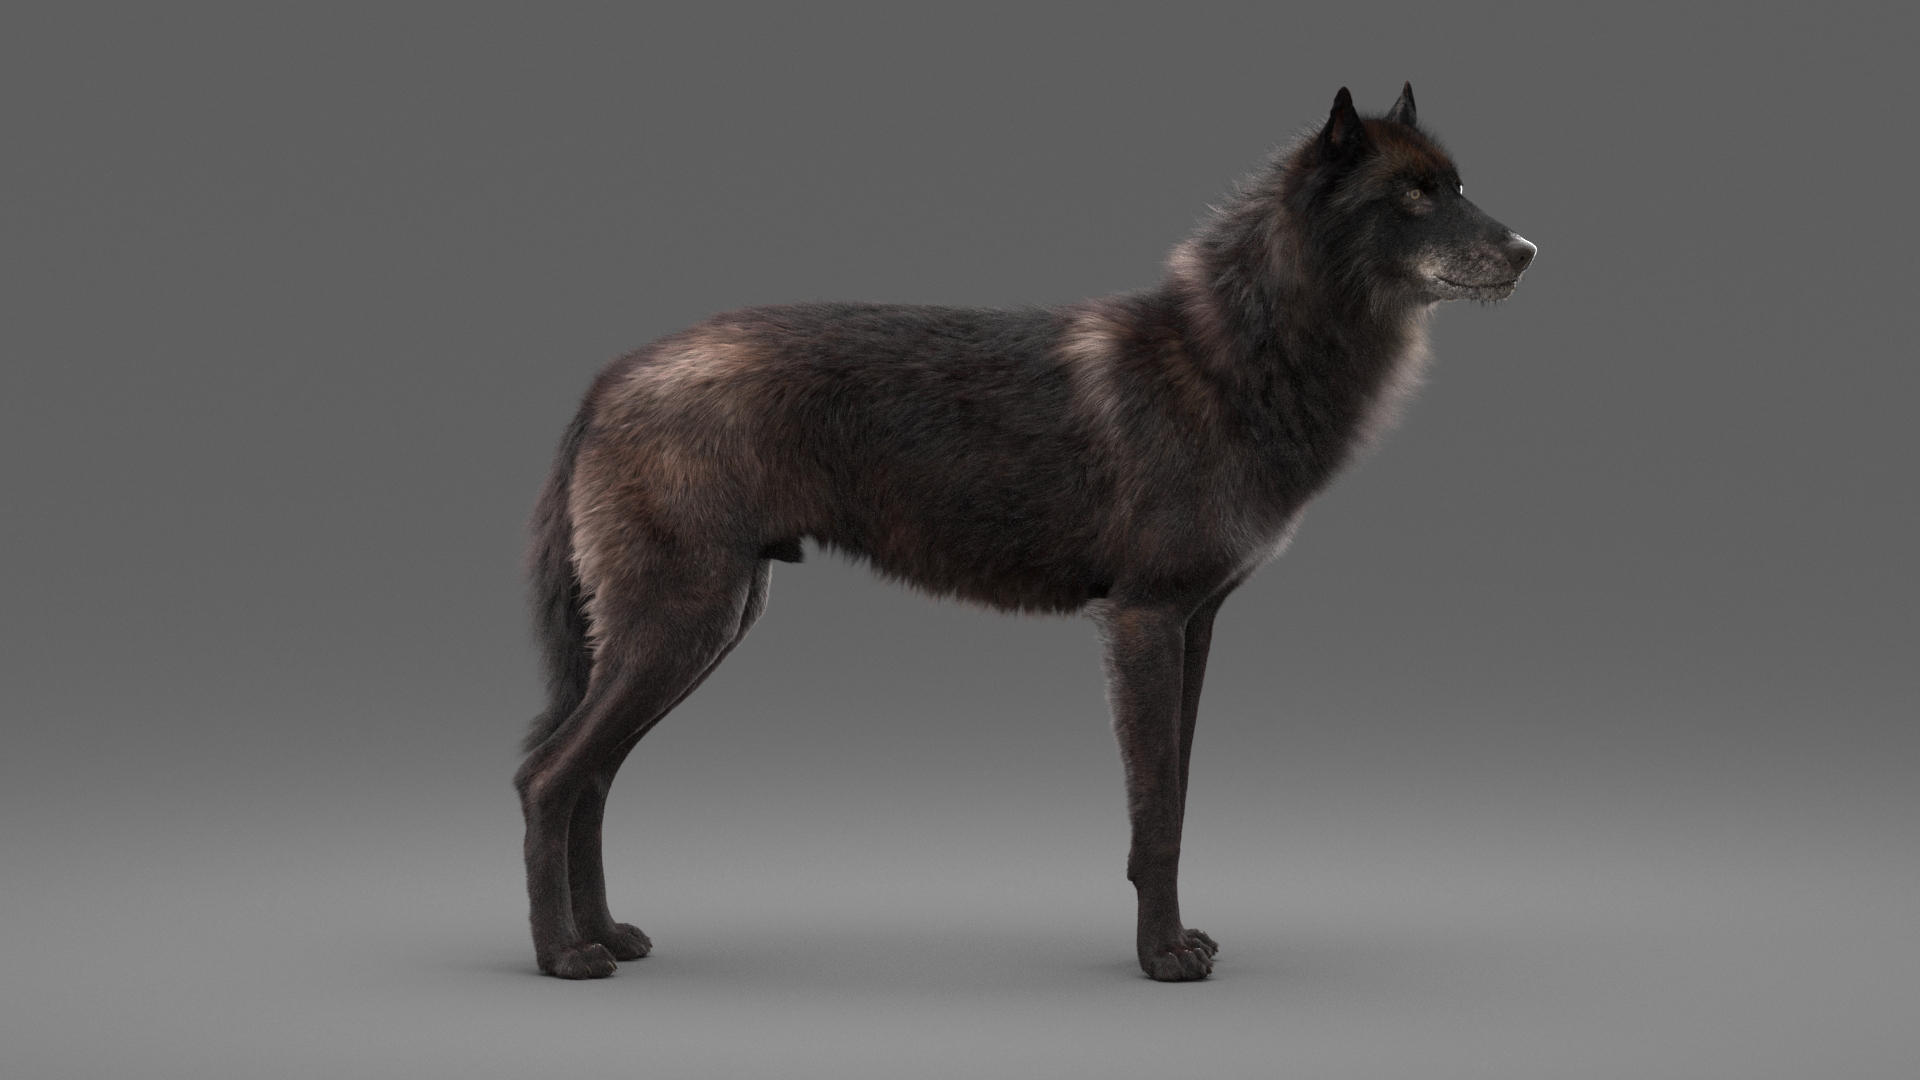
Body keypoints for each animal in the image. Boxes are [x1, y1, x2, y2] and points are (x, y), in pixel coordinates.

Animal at [513, 84, 1535, 981]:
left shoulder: (1196, 627)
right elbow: (1157, 818)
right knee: (547, 777)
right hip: (682, 629)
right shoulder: (1145, 624)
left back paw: (606, 935)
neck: (1237, 360)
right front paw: (1162, 959)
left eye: (1457, 185)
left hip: (700, 632)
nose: (1529, 250)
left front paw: (1171, 940)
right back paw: (564, 956)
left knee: (590, 780)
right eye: (1413, 195)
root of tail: (608, 379)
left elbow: (1177, 801)